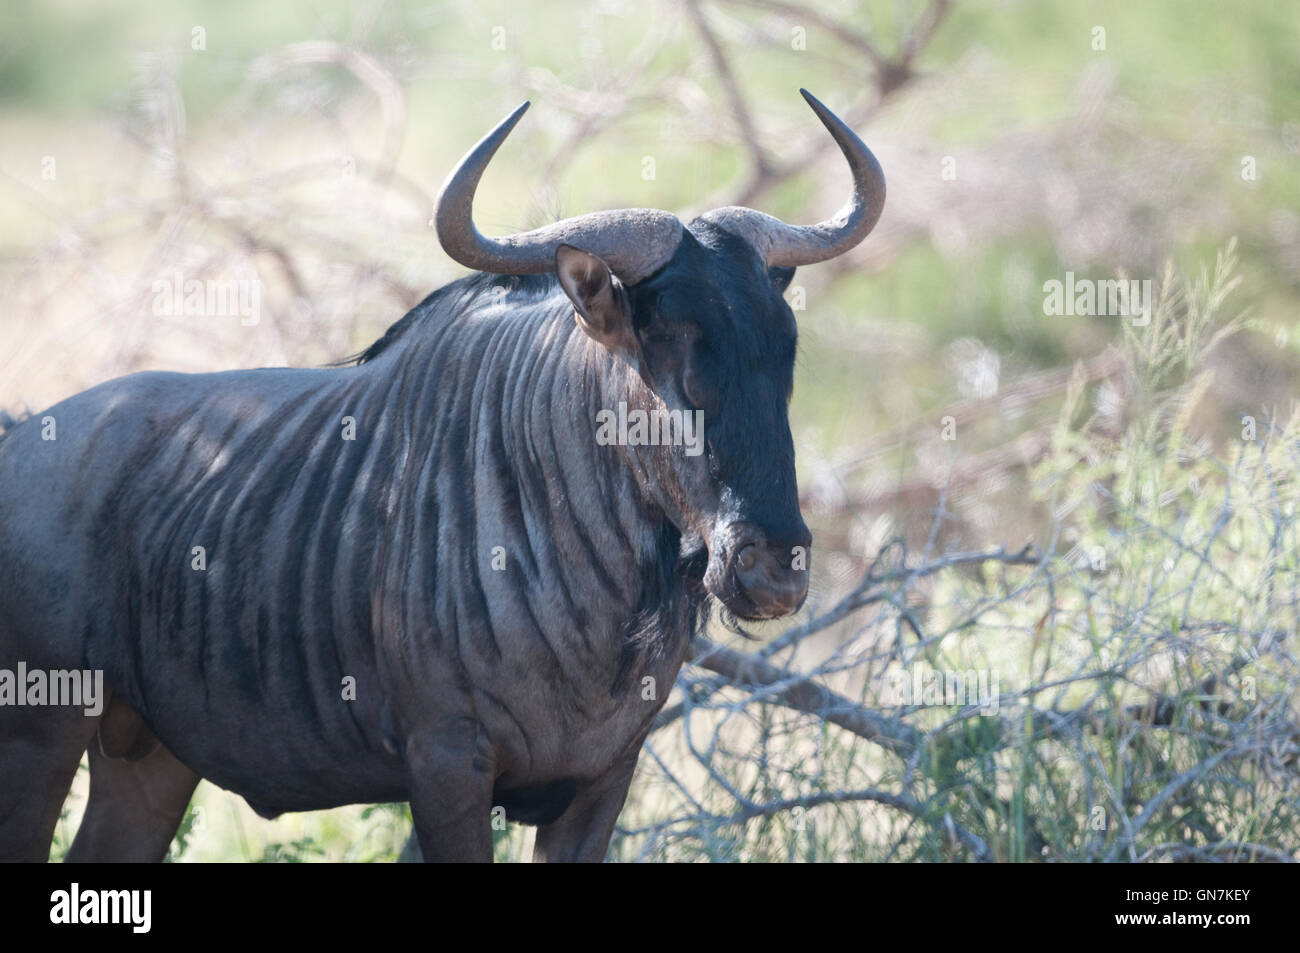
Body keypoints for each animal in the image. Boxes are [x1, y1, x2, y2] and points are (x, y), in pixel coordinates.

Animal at [0, 89, 883, 862]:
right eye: (664, 346)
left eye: (784, 348)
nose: (772, 570)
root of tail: (20, 441)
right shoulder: (448, 770)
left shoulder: (601, 781)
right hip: (40, 739)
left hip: (149, 760)